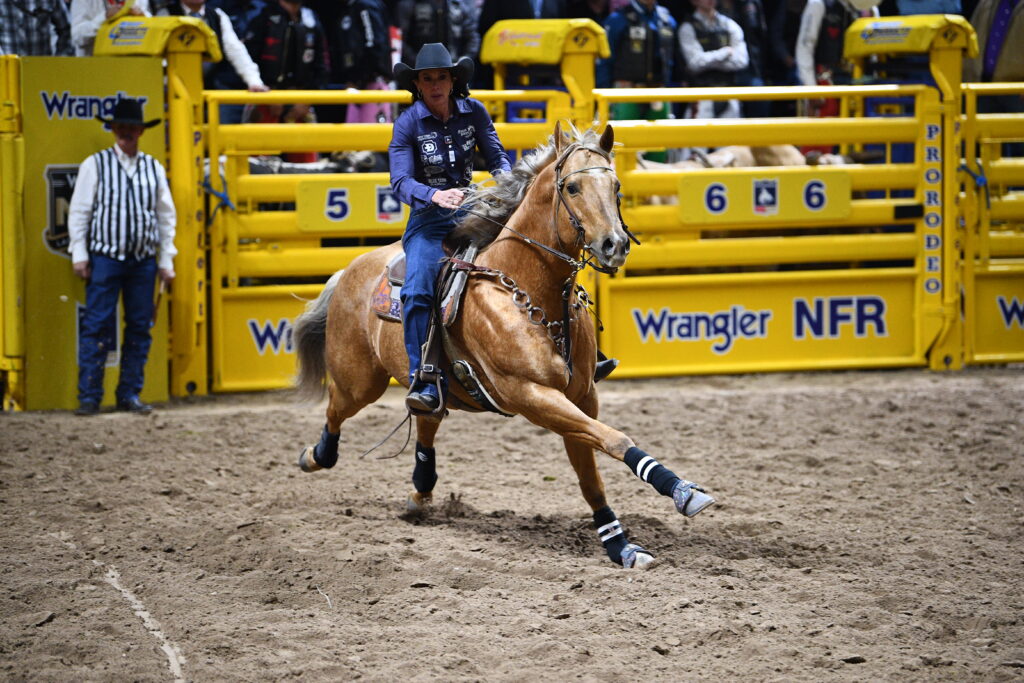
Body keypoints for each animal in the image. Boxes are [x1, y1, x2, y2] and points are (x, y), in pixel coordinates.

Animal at [292, 122, 715, 569]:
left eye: (616, 185)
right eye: (572, 187)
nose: (614, 244)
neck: (525, 288)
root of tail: (349, 269)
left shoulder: (580, 397)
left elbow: (590, 471)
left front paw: (621, 544)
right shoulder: (530, 394)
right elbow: (616, 439)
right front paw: (683, 493)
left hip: (431, 387)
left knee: (426, 419)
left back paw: (420, 493)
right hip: (358, 380)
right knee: (336, 411)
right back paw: (315, 456)